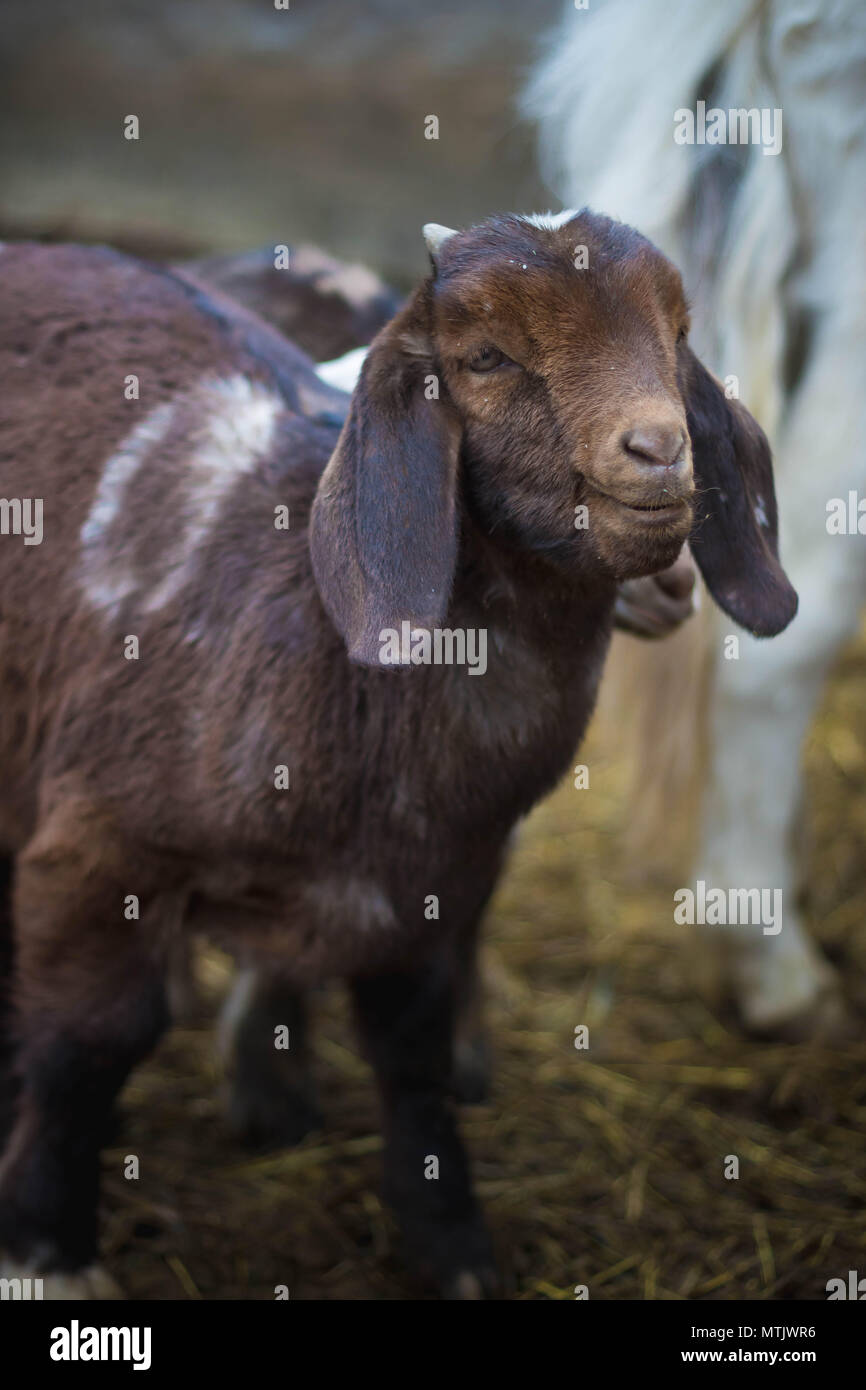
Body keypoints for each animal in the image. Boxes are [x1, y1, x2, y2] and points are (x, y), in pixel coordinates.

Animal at [0, 212, 795, 1298]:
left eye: (676, 338)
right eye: (484, 357)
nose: (658, 453)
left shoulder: (428, 888)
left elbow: (411, 1055)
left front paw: (450, 1243)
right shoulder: (99, 852)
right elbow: (89, 1044)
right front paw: (47, 1249)